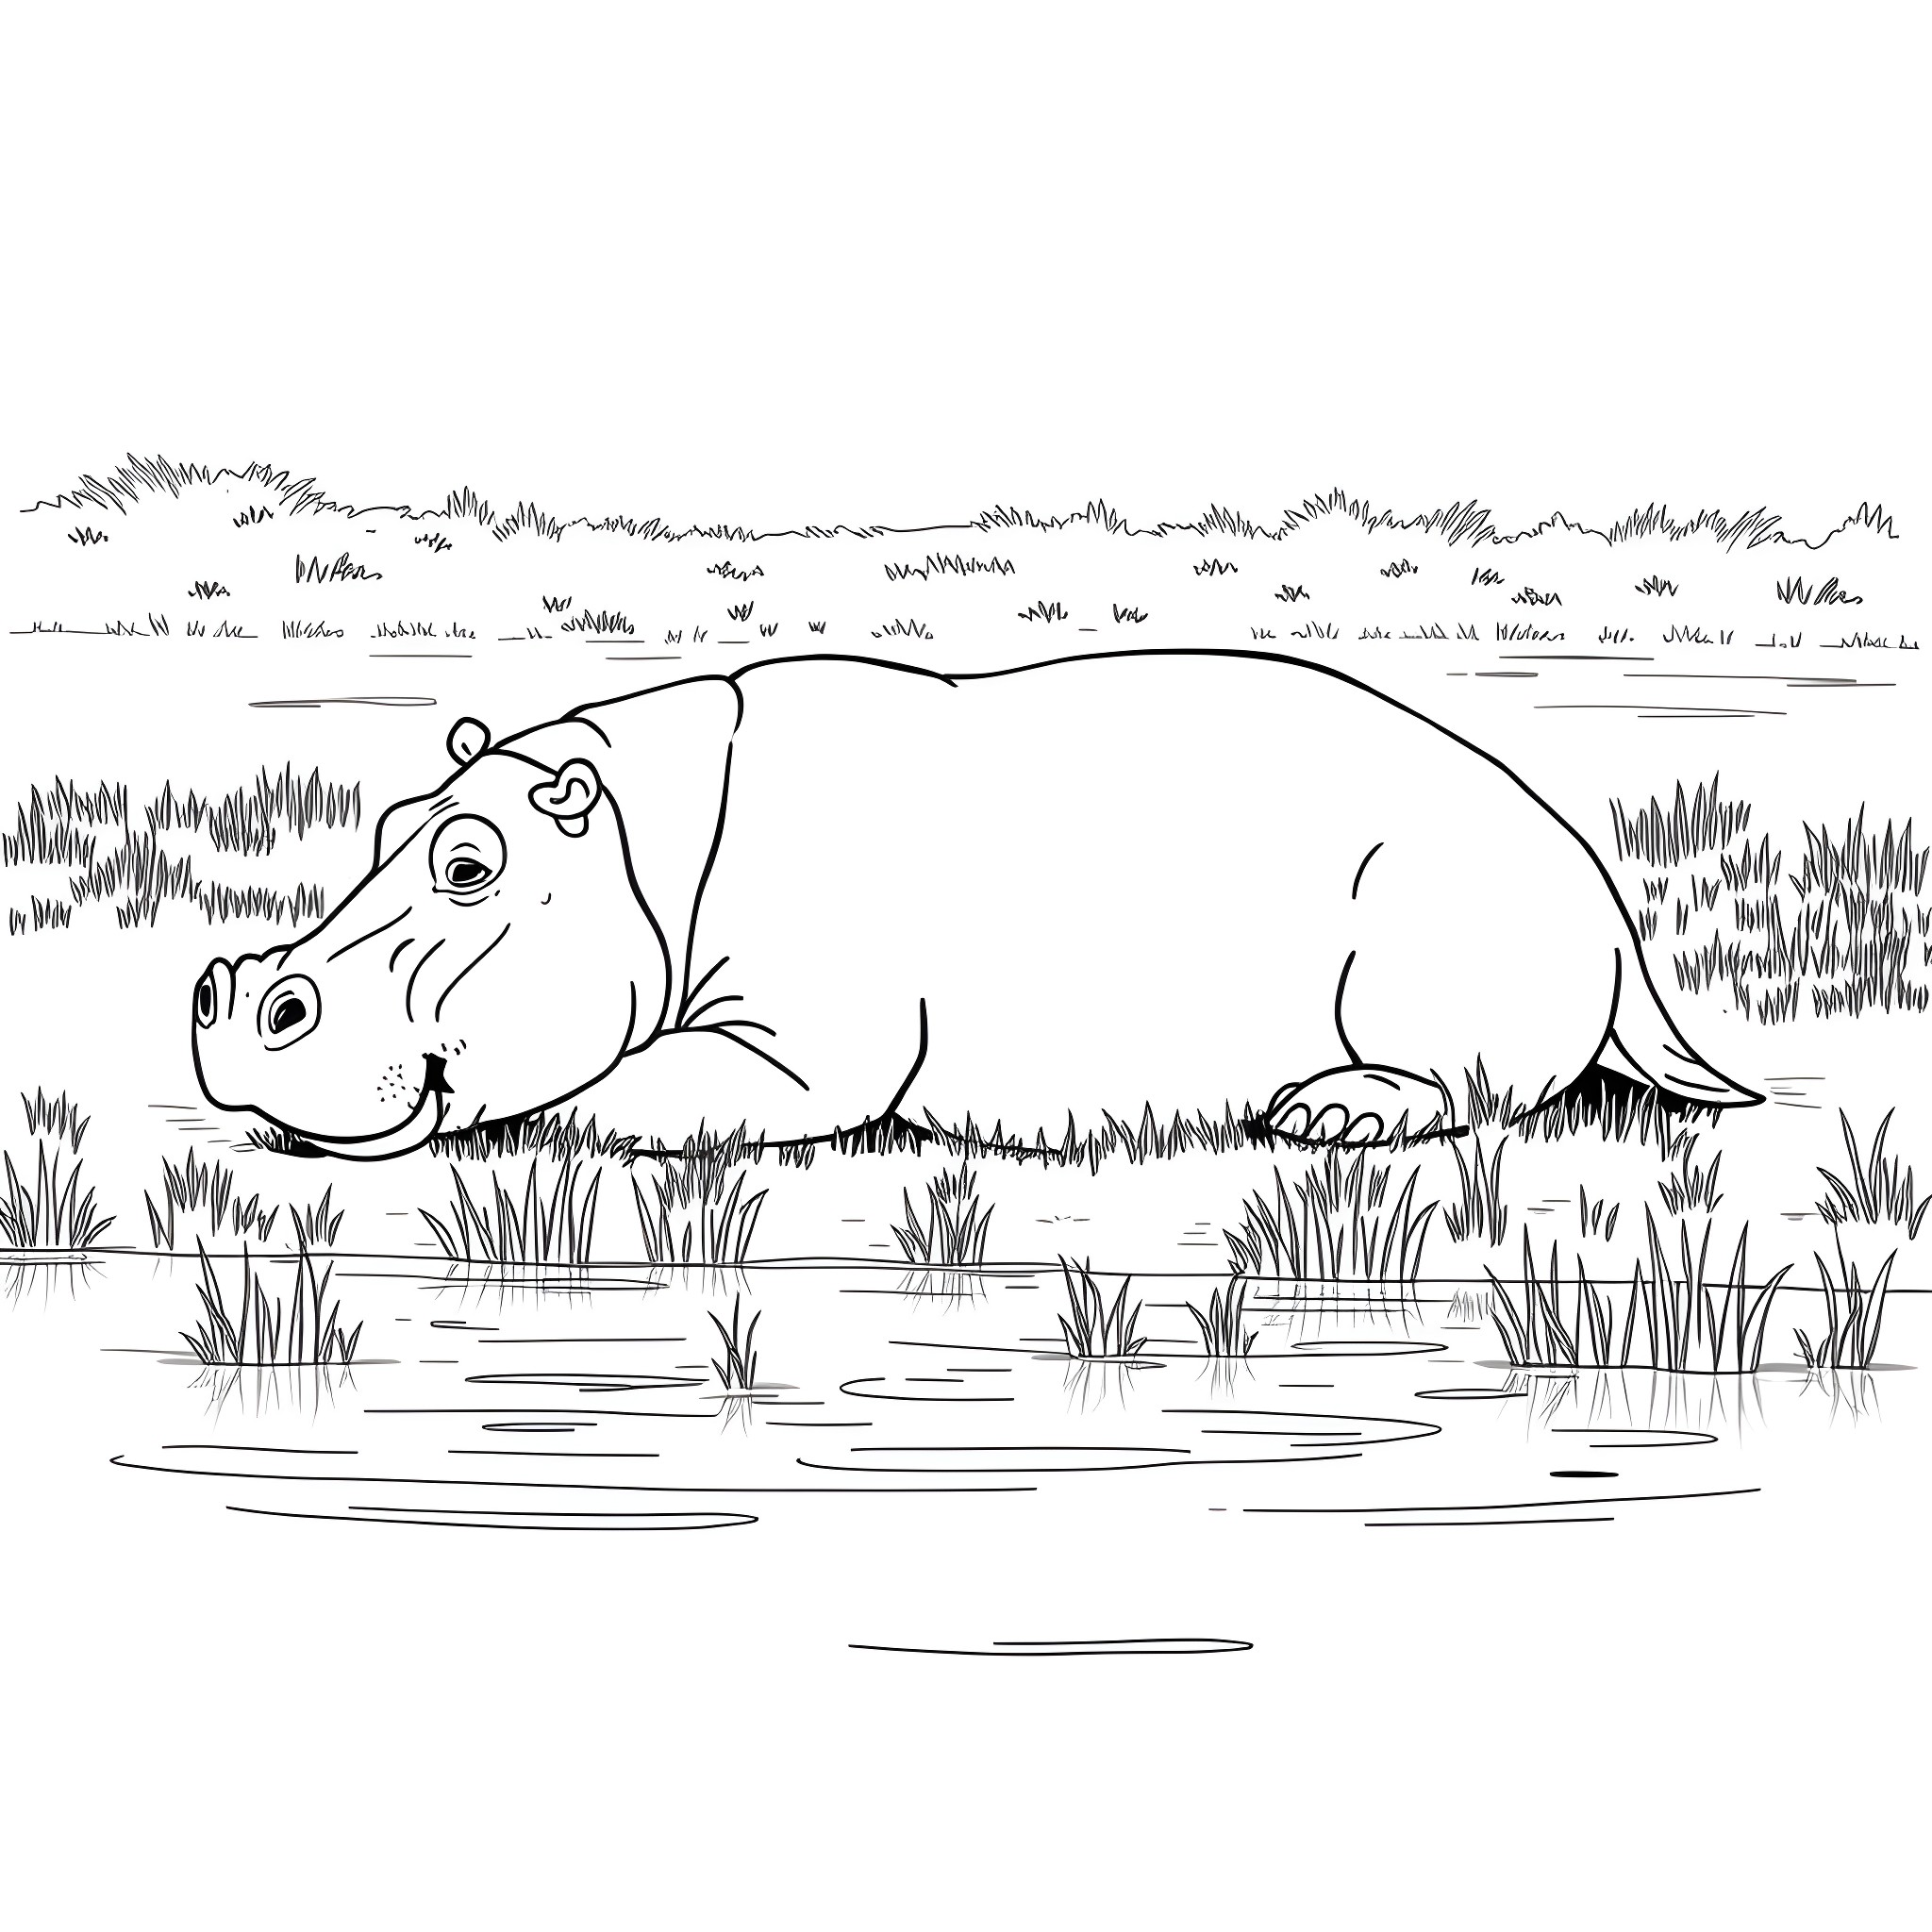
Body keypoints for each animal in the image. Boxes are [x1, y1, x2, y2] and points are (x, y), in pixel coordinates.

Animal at [190, 649, 1759, 1157]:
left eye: (471, 864)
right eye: (389, 823)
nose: (231, 994)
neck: (643, 831)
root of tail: (1597, 882)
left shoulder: (799, 1042)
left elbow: (649, 1085)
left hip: (1433, 919)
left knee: (1465, 1076)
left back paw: (1327, 1114)